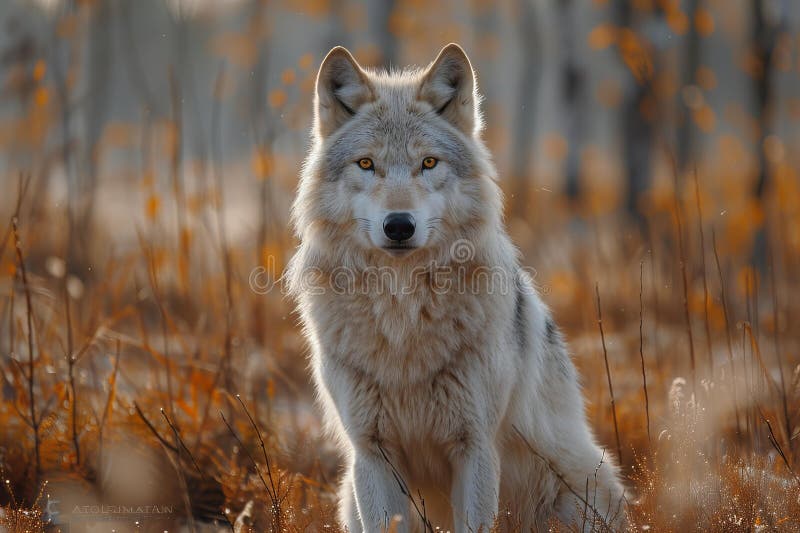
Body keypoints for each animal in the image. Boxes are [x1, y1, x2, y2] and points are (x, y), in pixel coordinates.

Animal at [286, 44, 626, 532]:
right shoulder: (371, 453)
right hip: (349, 498)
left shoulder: (476, 446)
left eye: (429, 162)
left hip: (575, 492)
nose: (399, 225)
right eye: (366, 163)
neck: (403, 315)